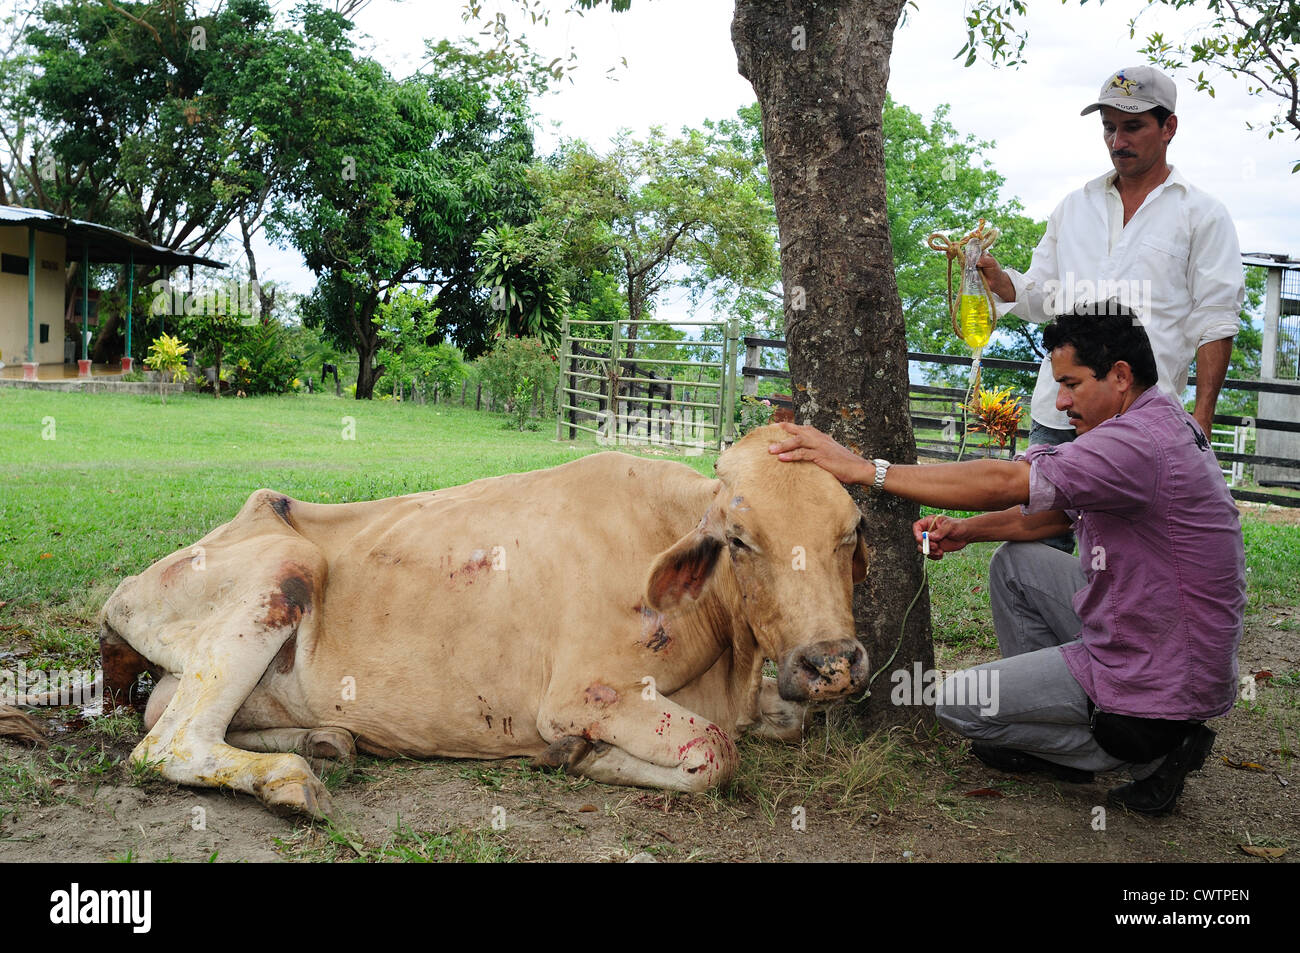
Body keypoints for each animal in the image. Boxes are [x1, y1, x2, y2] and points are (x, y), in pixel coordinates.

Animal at [87, 423, 871, 817]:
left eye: (852, 530)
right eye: (739, 540)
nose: (830, 662)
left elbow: (784, 721)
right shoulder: (584, 692)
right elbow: (715, 752)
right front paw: (577, 756)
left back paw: (327, 739)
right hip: (284, 565)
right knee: (167, 743)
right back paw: (290, 780)